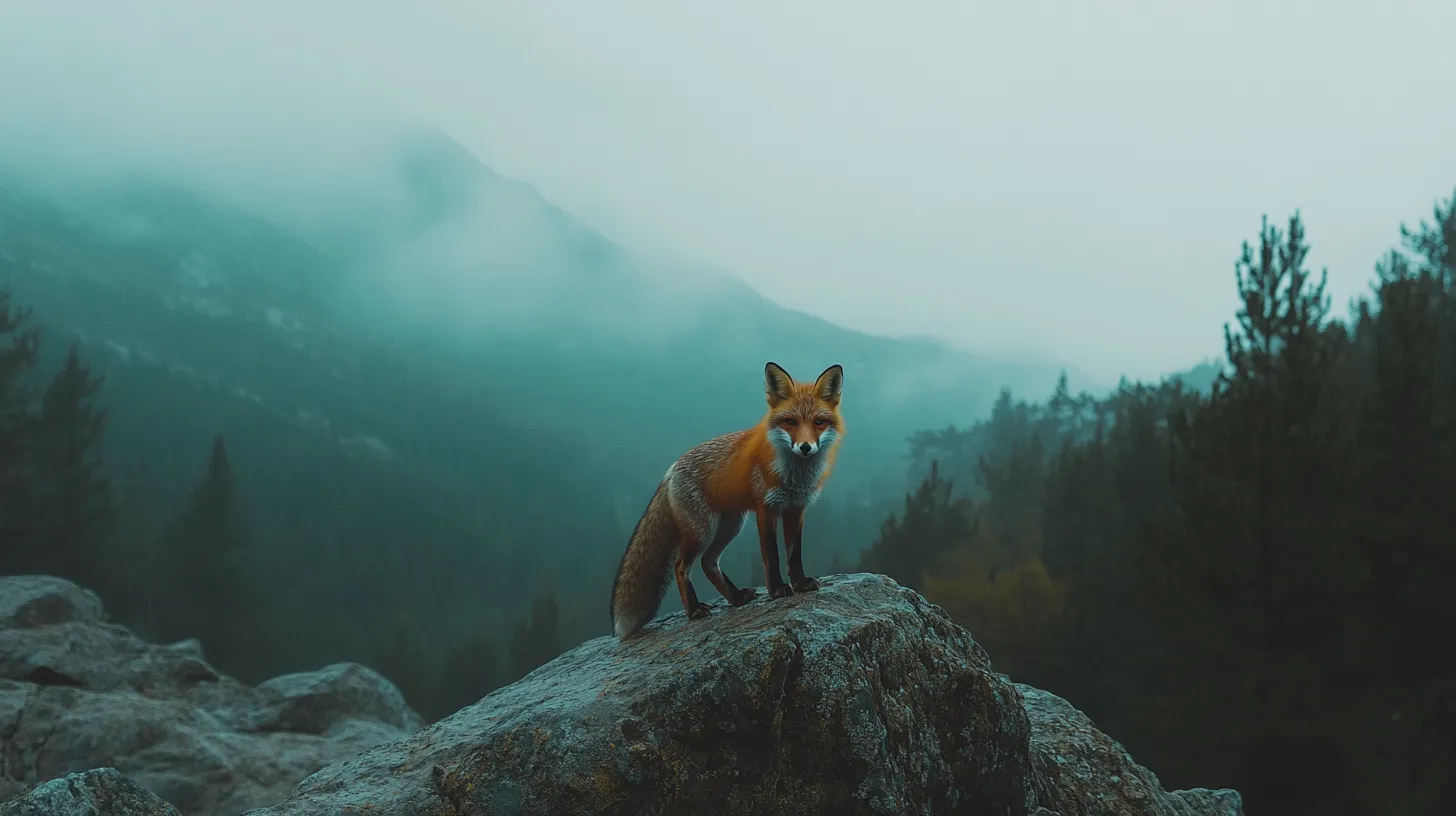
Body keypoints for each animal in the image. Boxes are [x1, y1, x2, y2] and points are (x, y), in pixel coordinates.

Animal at [609, 361, 845, 640]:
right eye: (791, 422)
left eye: (819, 422)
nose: (806, 447)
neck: (795, 476)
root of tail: (672, 469)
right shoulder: (766, 507)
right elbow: (772, 555)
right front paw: (777, 590)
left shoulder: (795, 509)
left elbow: (794, 554)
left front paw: (799, 583)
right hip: (702, 530)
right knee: (681, 567)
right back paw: (694, 610)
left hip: (730, 526)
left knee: (708, 563)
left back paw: (736, 598)